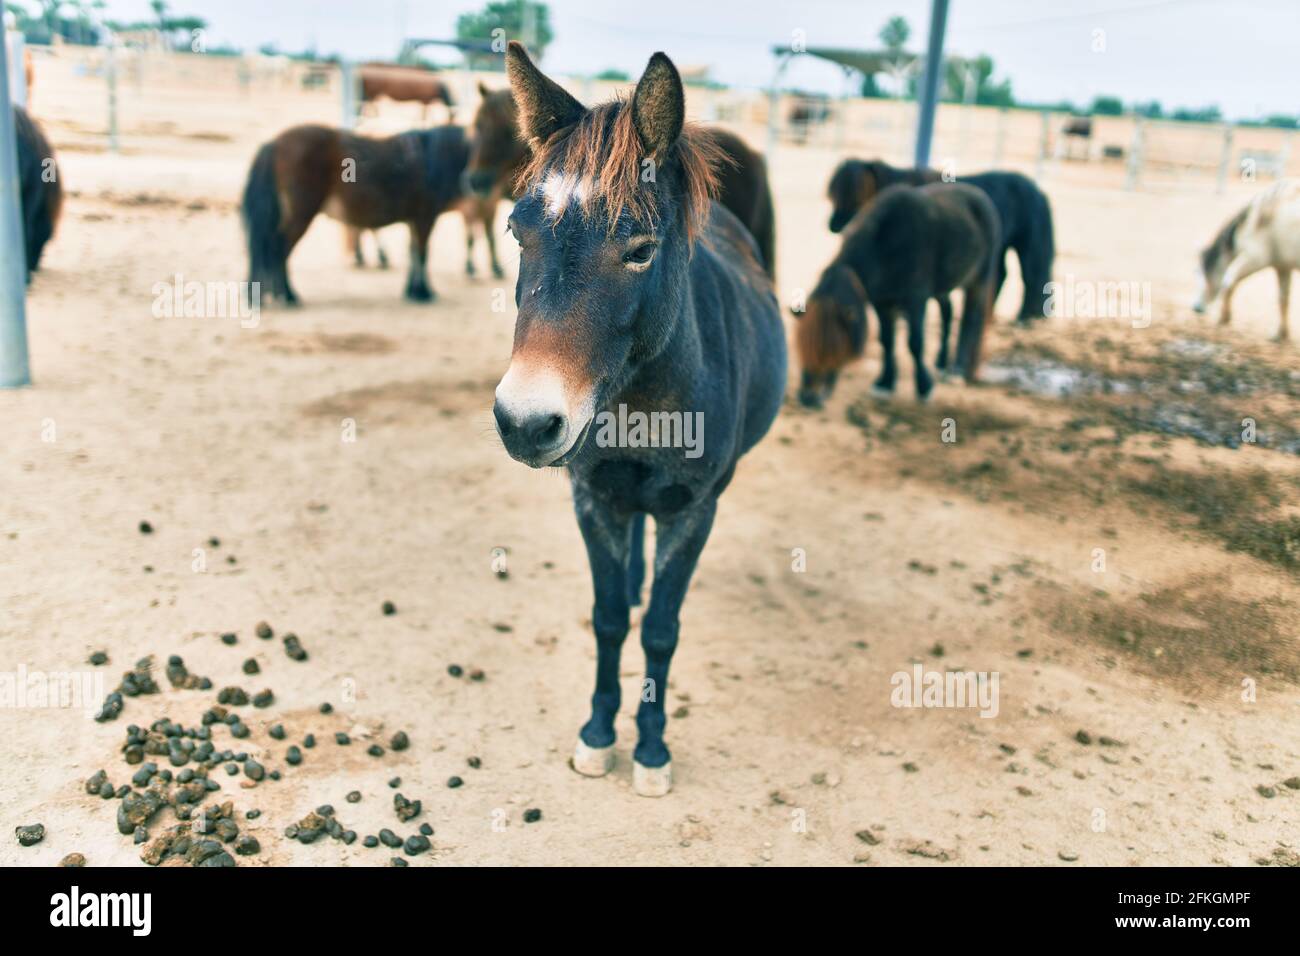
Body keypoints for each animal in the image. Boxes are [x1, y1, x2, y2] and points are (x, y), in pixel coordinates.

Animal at [241, 123, 469, 303]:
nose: (474, 182)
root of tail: (275, 144)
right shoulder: (425, 218)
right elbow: (422, 253)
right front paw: (422, 293)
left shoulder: (415, 219)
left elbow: (413, 252)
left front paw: (413, 291)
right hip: (300, 216)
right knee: (279, 249)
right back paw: (288, 296)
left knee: (272, 248)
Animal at [795, 182, 999, 407]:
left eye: (833, 349)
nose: (808, 398)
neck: (885, 245)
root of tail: (979, 195)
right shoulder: (882, 303)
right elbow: (887, 341)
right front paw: (885, 382)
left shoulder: (916, 300)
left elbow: (915, 343)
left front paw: (924, 387)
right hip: (941, 288)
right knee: (947, 313)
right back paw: (941, 362)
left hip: (979, 280)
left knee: (971, 319)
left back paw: (957, 371)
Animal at [826, 158, 1054, 322]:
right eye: (835, 194)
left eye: (857, 193)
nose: (833, 225)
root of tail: (1038, 191)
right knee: (1001, 276)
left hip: (1027, 247)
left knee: (1031, 277)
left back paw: (1022, 319)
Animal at [1193, 179, 1300, 342]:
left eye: (1201, 273)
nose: (1196, 307)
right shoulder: (1282, 266)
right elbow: (1283, 299)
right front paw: (1280, 334)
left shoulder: (1253, 259)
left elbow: (1228, 281)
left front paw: (1224, 317)